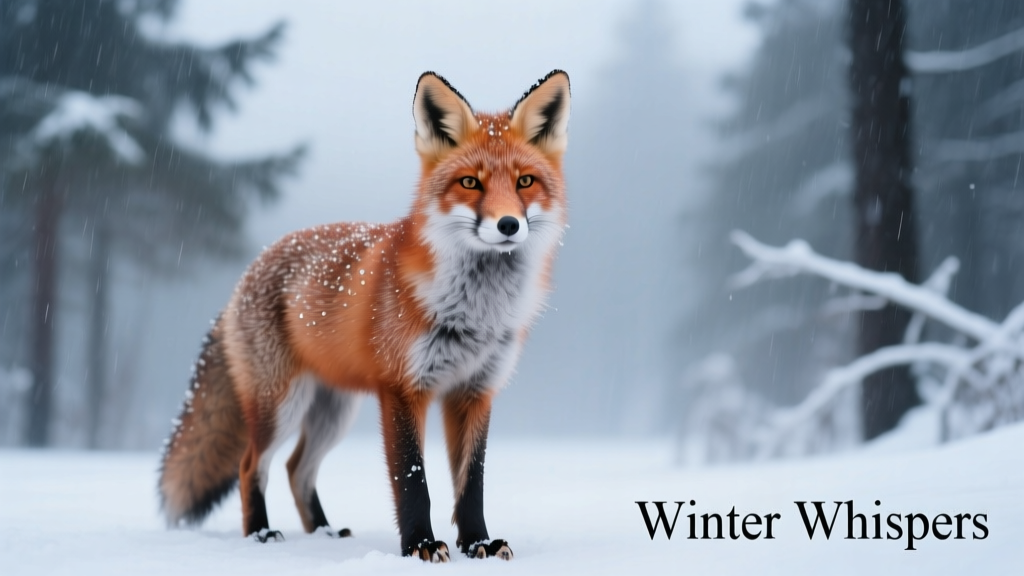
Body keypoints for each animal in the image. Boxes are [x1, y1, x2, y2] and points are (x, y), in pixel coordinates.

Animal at [158, 70, 570, 562]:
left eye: (525, 181)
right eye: (470, 183)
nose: (509, 225)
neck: (475, 312)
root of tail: (249, 271)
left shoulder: (475, 391)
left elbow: (472, 484)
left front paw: (479, 544)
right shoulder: (402, 388)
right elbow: (413, 479)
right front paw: (421, 545)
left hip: (333, 412)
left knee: (297, 468)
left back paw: (323, 532)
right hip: (281, 405)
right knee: (251, 465)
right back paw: (260, 532)